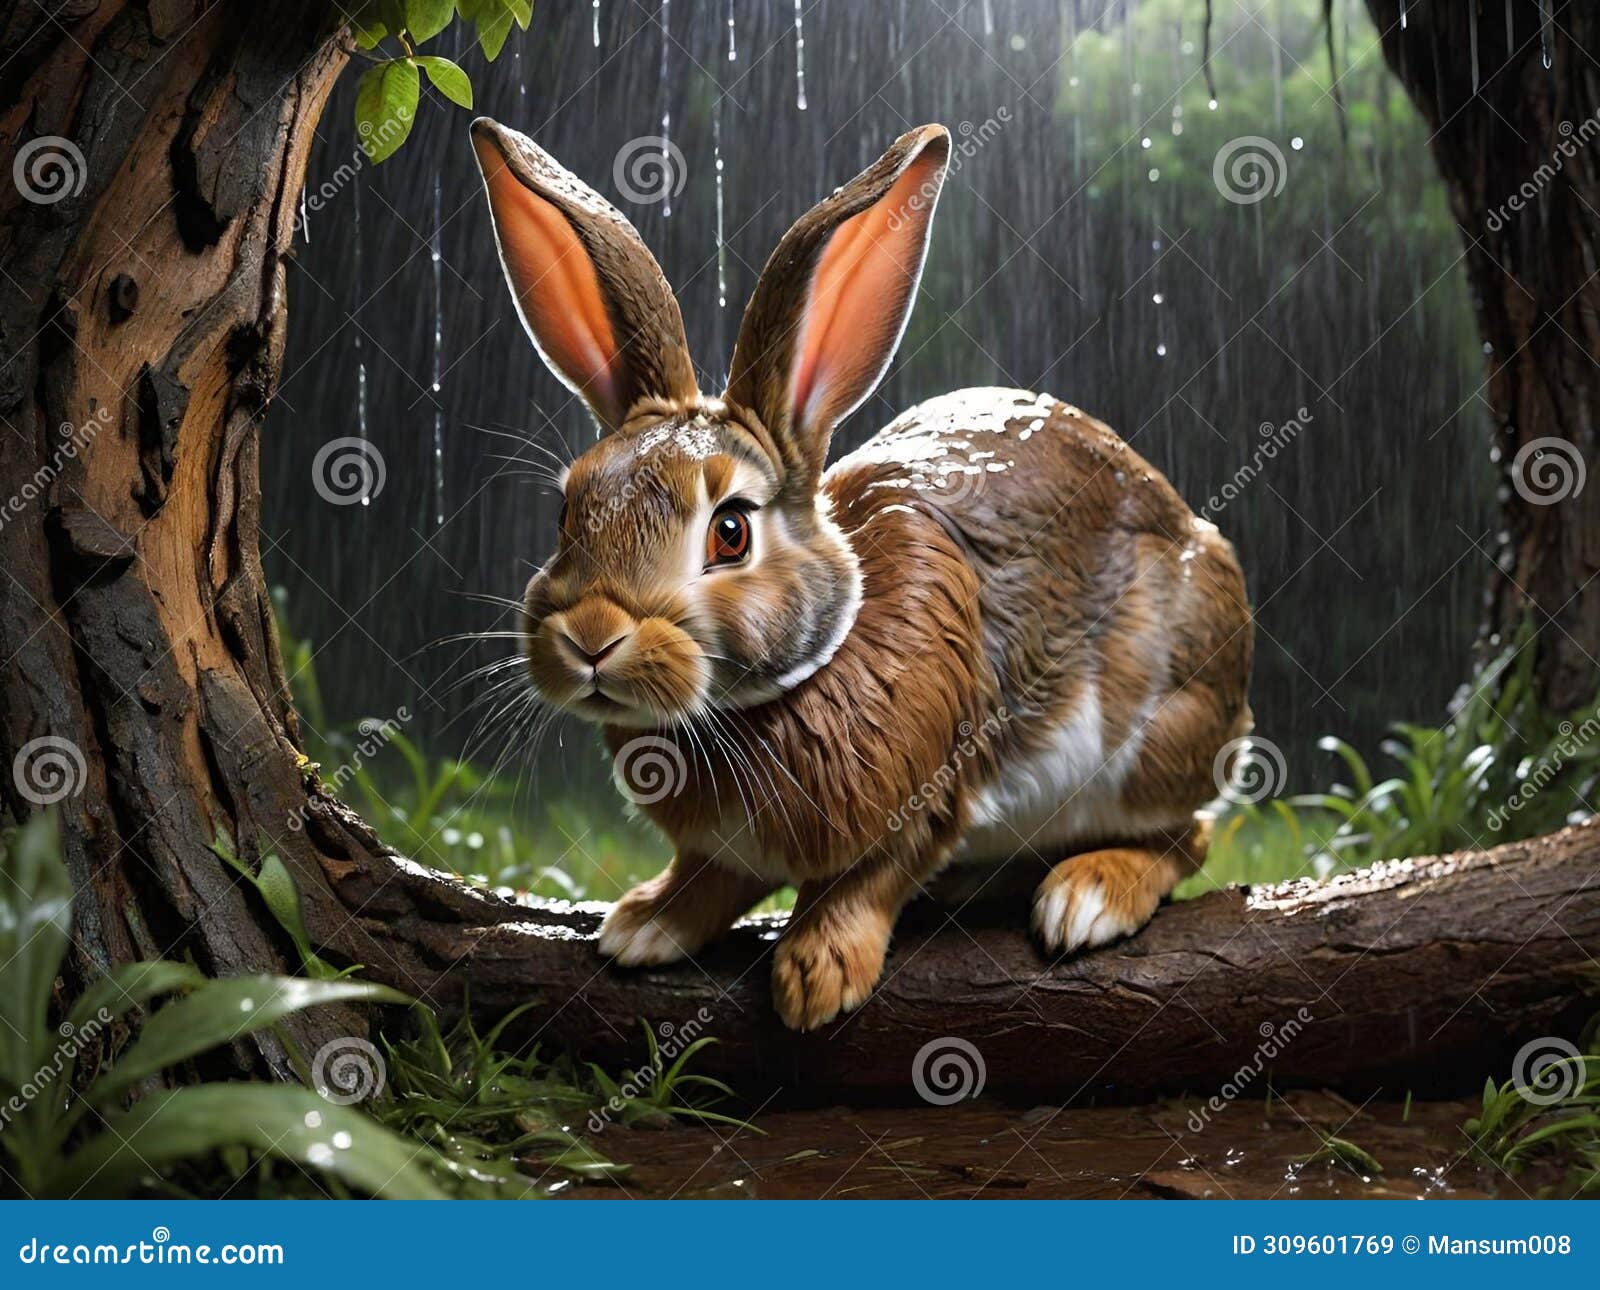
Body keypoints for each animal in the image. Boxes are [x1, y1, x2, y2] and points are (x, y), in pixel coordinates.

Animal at [470, 116, 1254, 1031]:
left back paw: (1088, 897)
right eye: (568, 509)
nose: (592, 636)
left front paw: (817, 973)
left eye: (731, 532)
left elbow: (869, 878)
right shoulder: (727, 850)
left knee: (1187, 833)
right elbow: (710, 878)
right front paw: (645, 926)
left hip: (1156, 737)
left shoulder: (934, 789)